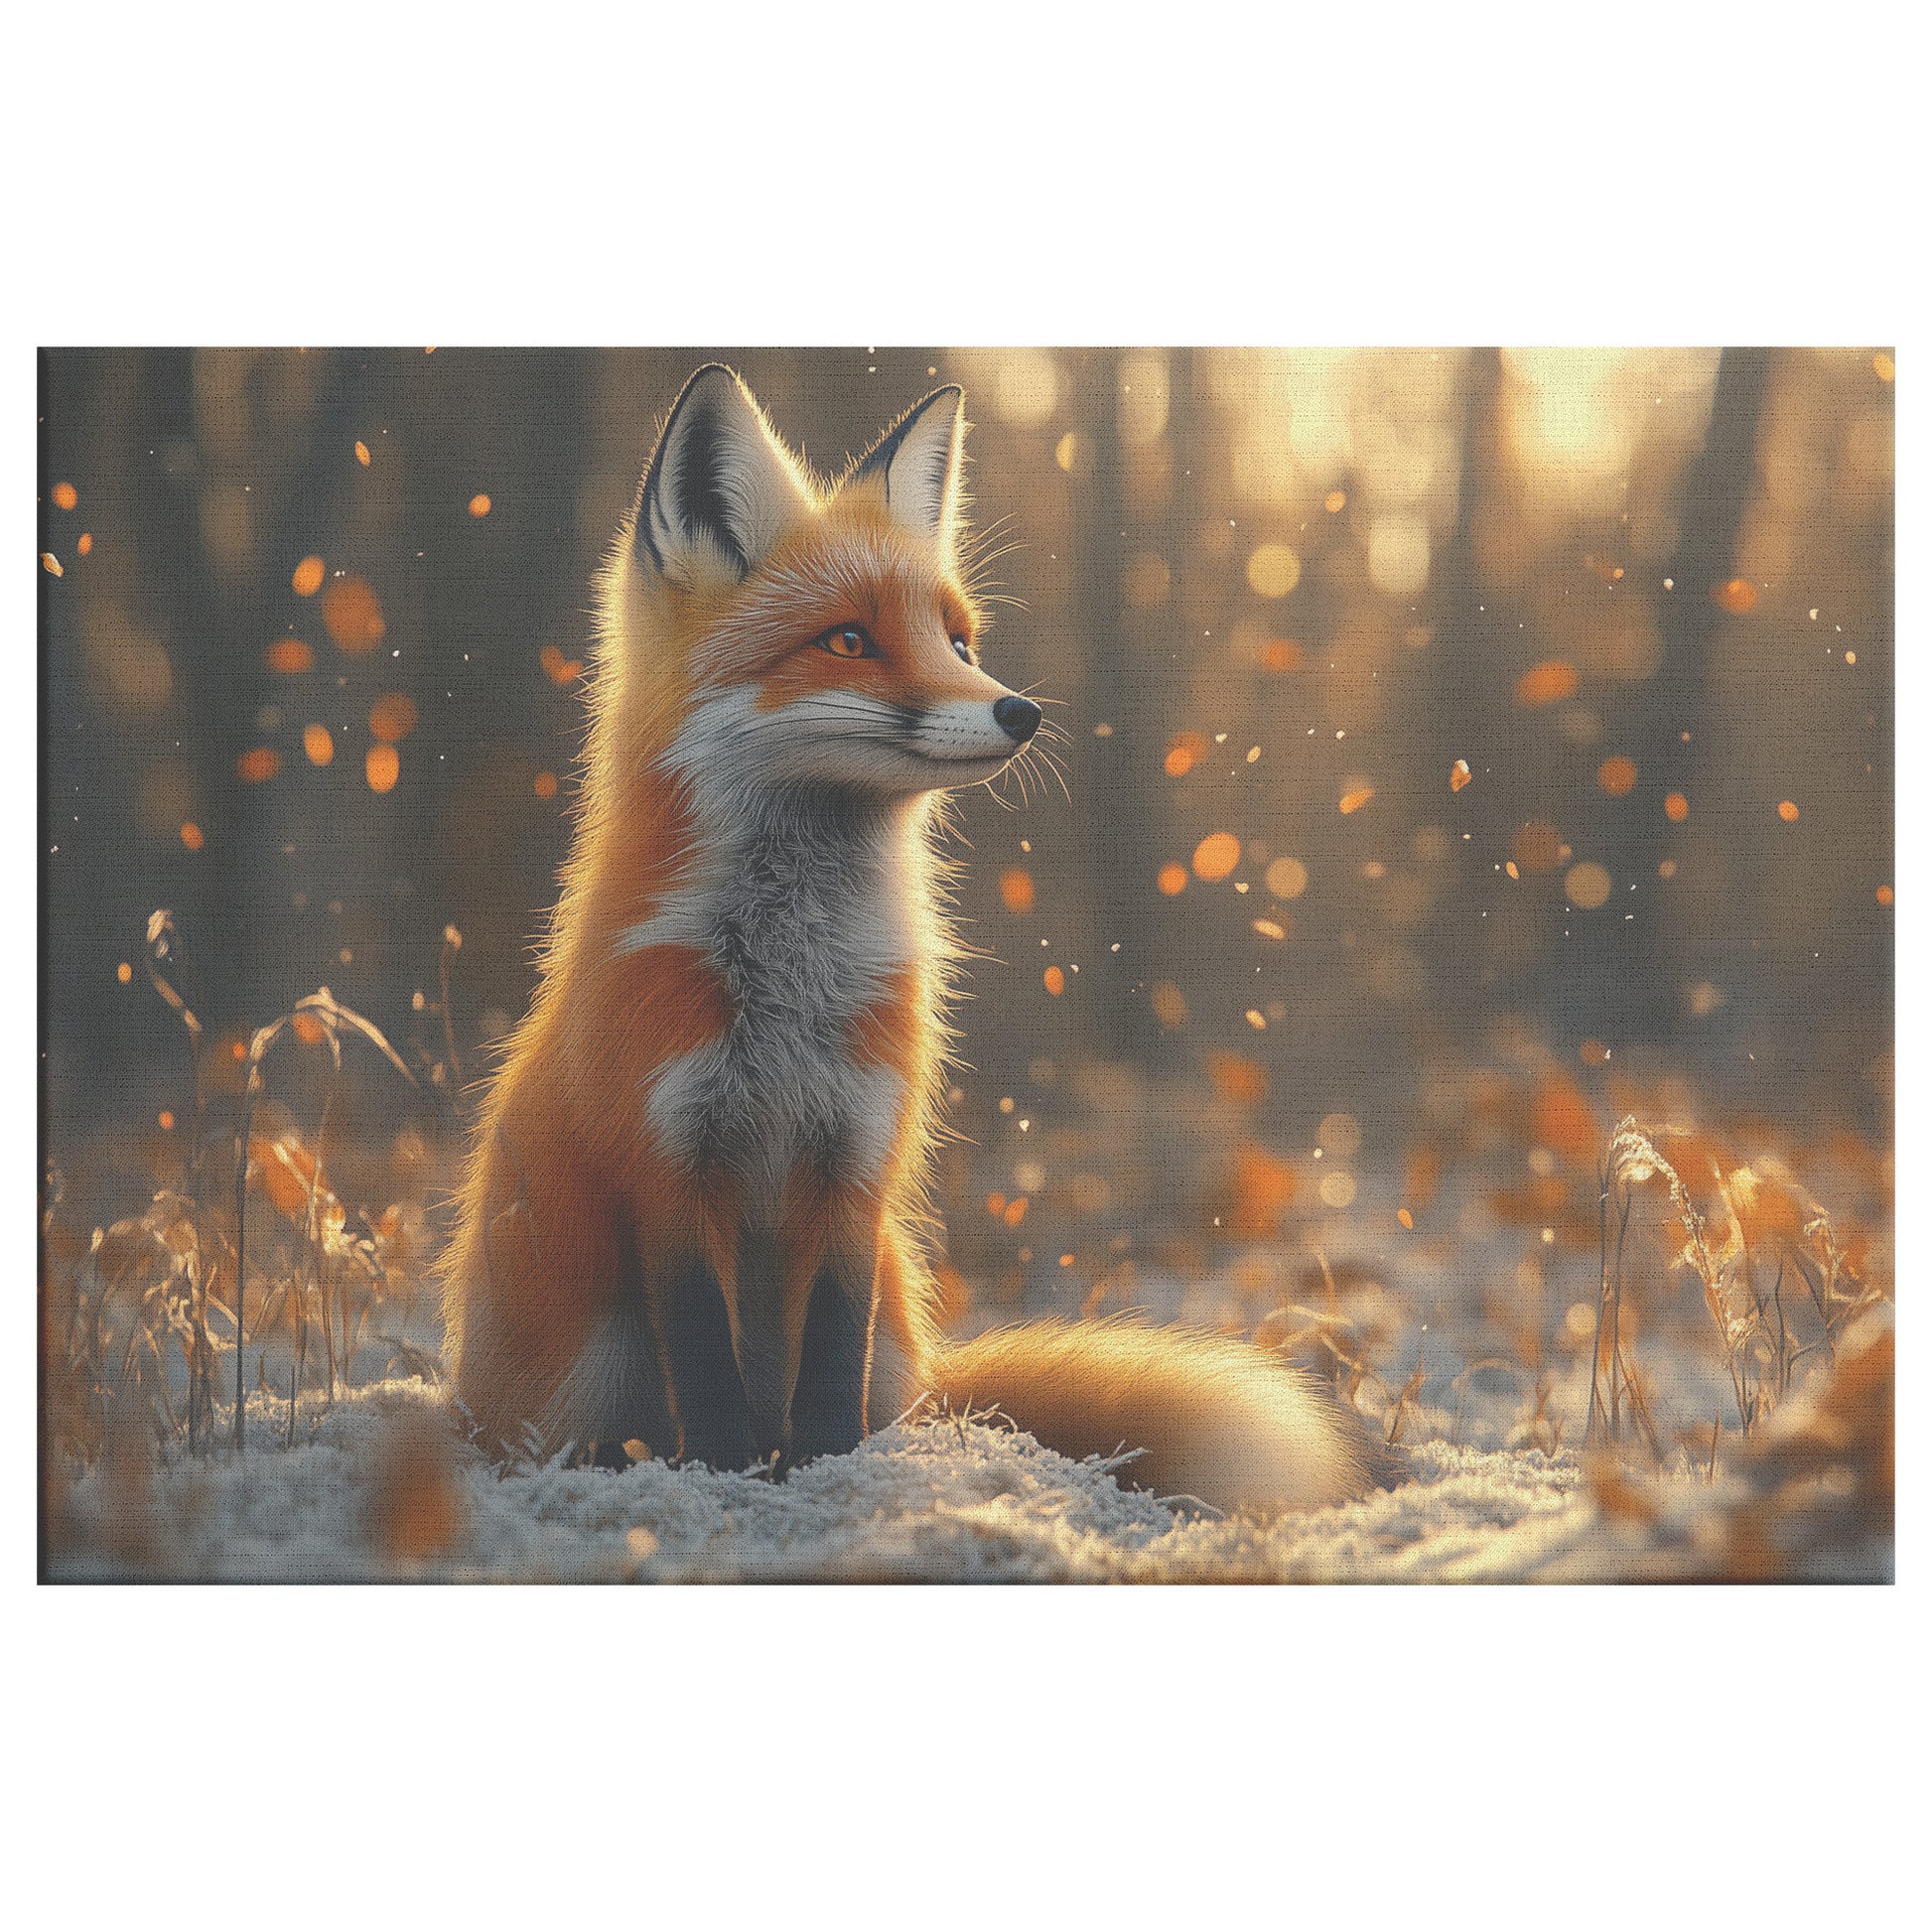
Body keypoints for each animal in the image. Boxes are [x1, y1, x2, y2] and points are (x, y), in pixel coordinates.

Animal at [440, 363, 1398, 1513]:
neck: (789, 987)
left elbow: (827, 1366)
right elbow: (709, 1373)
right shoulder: (667, 1164)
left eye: (959, 641)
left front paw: (824, 1472)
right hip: (588, 1365)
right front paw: (732, 1480)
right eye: (848, 640)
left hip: (888, 1345)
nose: (1021, 712)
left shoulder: (858, 1157)